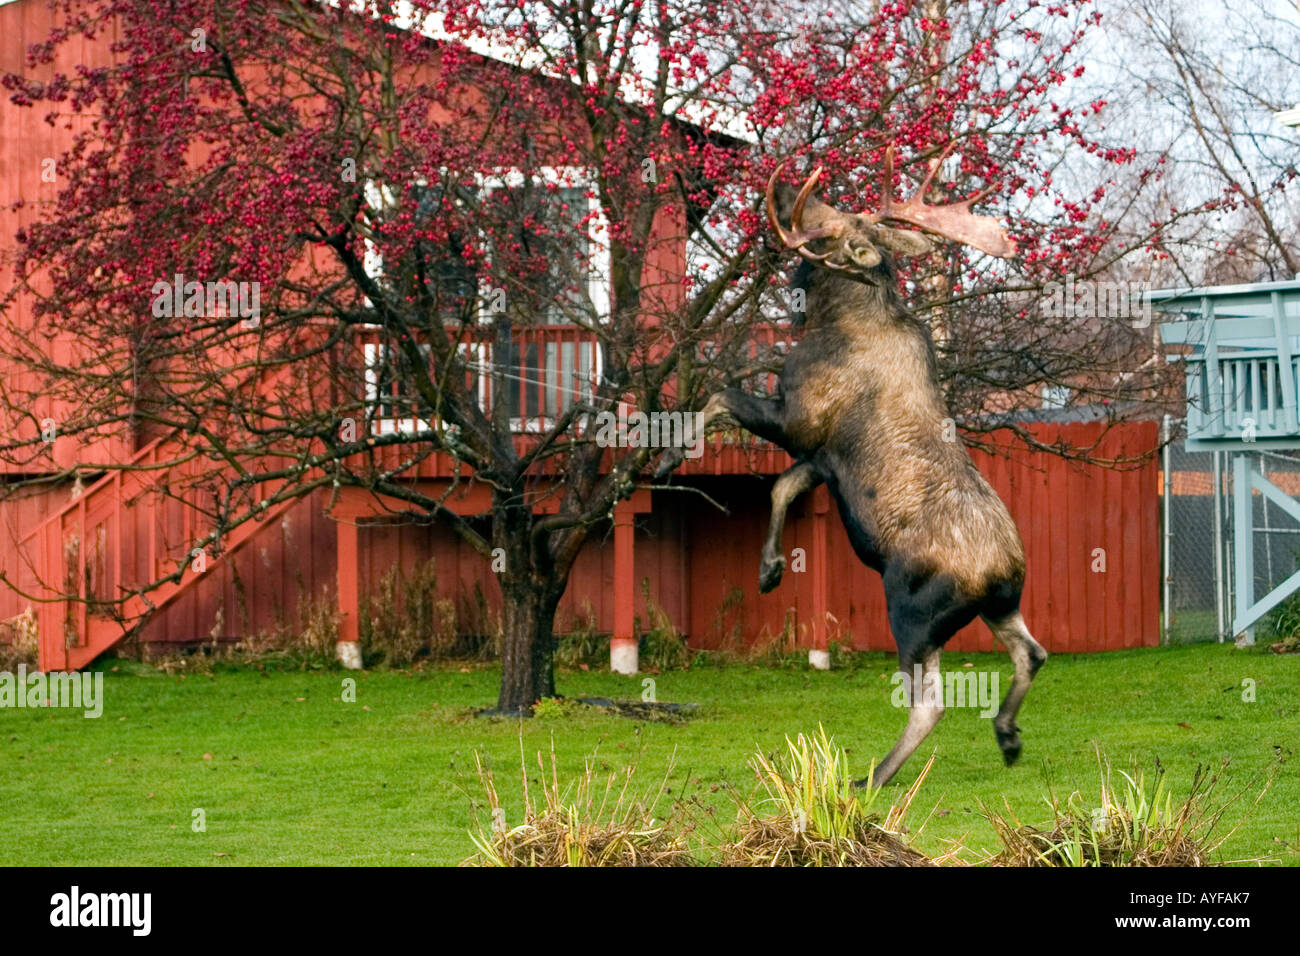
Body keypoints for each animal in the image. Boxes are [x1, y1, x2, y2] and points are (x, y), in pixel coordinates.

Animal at [665, 145, 1046, 786]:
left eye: (828, 225)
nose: (787, 185)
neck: (831, 315)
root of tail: (1001, 573)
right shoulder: (822, 459)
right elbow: (780, 488)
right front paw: (769, 572)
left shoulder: (799, 420)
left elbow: (719, 396)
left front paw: (671, 452)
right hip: (1002, 604)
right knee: (1033, 652)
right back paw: (1008, 735)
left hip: (912, 608)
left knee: (930, 702)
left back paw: (873, 776)